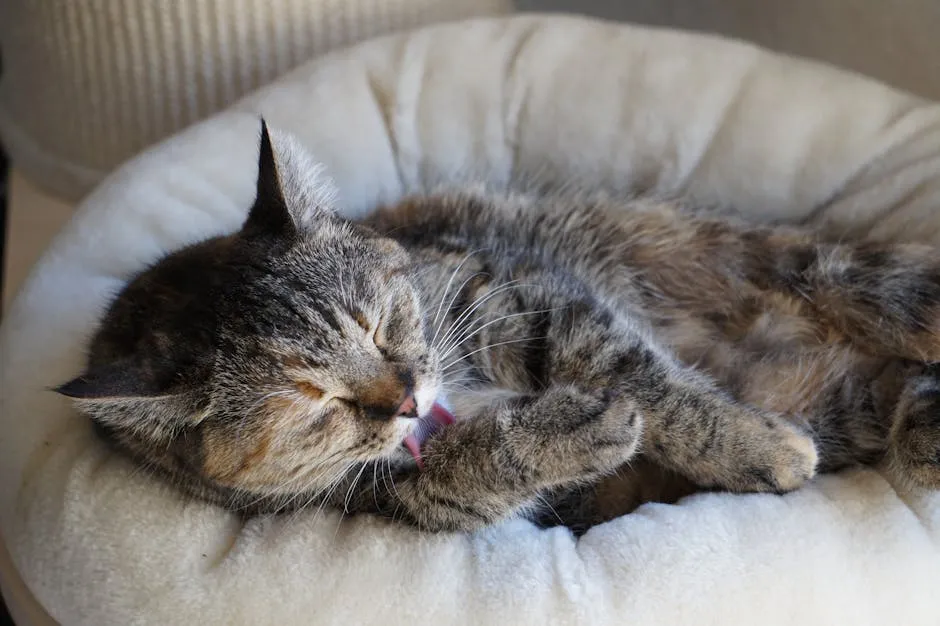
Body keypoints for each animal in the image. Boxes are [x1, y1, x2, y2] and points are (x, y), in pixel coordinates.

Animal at [55, 122, 940, 532]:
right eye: (316, 406)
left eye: (381, 324)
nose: (408, 397)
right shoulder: (395, 507)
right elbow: (467, 472)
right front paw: (570, 429)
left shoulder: (528, 297)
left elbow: (651, 381)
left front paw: (752, 443)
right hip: (847, 401)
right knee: (897, 396)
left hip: (779, 261)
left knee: (854, 284)